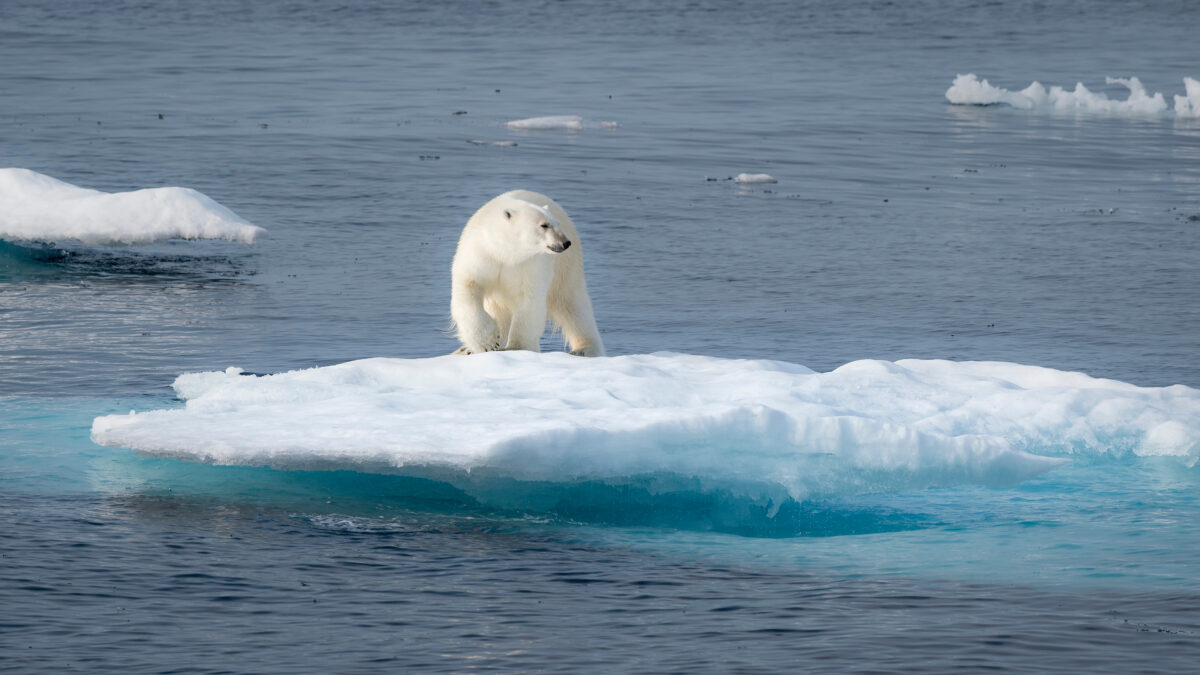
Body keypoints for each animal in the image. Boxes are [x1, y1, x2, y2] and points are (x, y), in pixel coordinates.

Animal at [450, 190, 605, 357]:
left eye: (557, 223)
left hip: (566, 267)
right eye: (544, 225)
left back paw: (584, 349)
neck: (505, 251)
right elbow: (469, 287)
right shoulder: (481, 254)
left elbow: (529, 299)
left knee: (571, 304)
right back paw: (466, 350)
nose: (565, 242)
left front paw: (516, 348)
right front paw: (488, 343)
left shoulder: (530, 264)